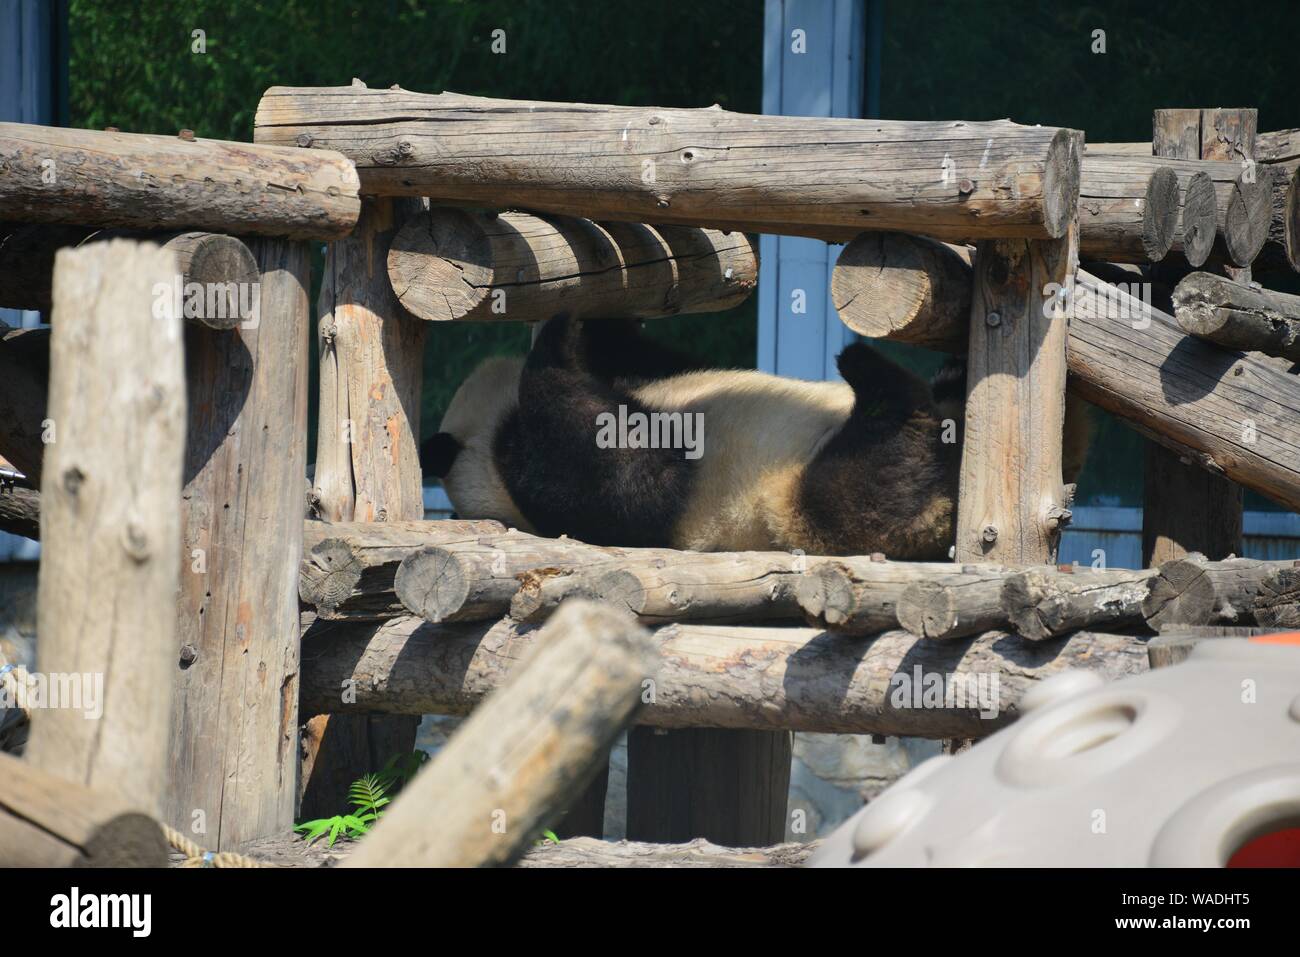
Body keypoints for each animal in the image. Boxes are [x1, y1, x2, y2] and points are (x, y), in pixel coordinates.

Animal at [420, 316, 1089, 560]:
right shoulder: (544, 491)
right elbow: (630, 475)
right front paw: (560, 332)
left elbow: (649, 357)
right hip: (809, 508)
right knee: (870, 479)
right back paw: (874, 377)